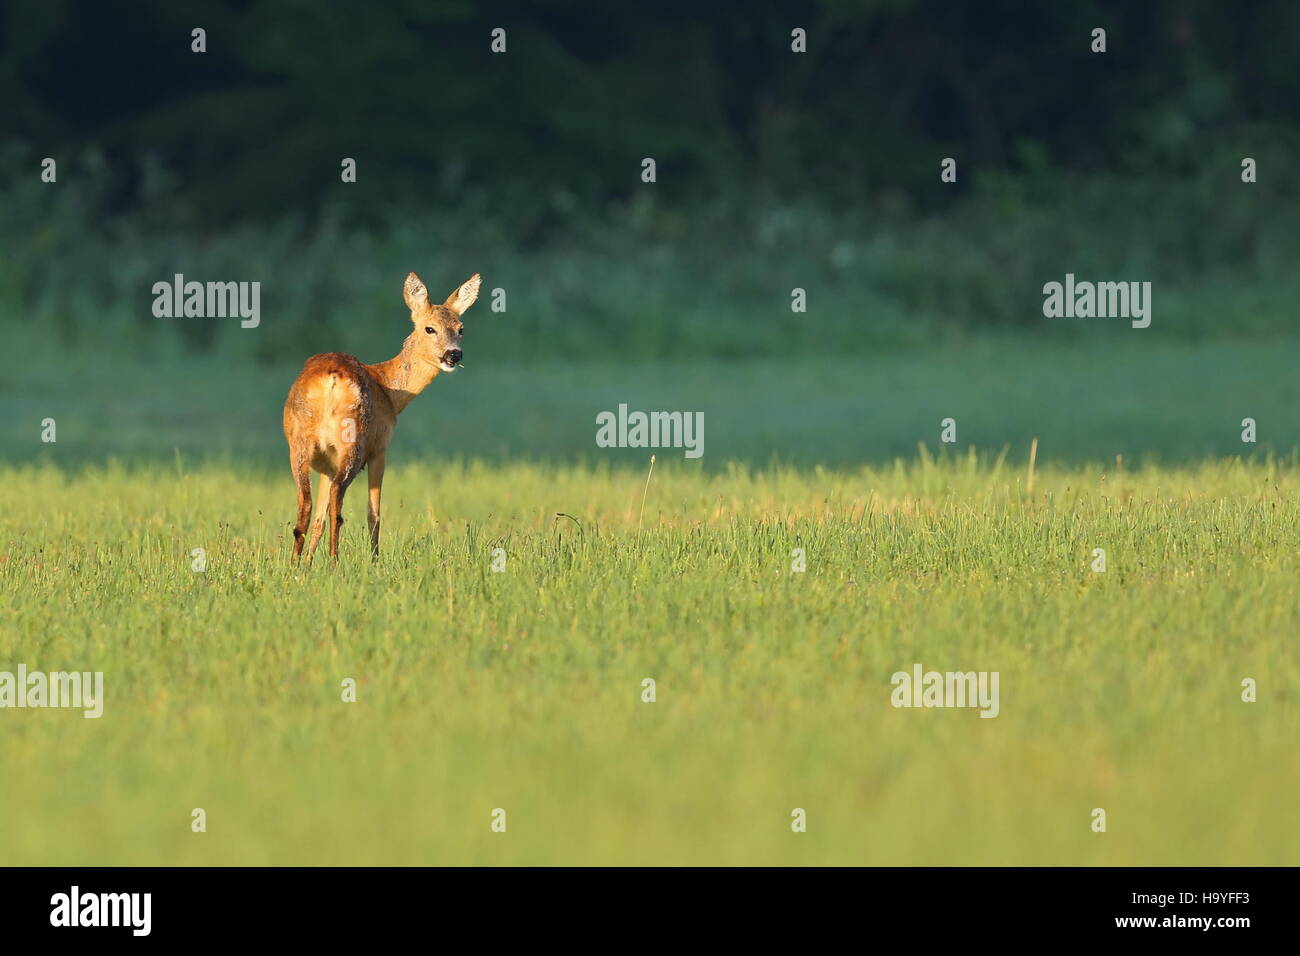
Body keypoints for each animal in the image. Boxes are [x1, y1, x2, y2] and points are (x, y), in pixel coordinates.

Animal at [283, 271, 480, 560]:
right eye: (429, 328)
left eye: (461, 328)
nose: (453, 354)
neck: (388, 389)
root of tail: (331, 379)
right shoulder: (381, 448)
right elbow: (373, 514)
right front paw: (374, 561)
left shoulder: (326, 464)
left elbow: (318, 518)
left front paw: (308, 564)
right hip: (353, 442)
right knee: (337, 501)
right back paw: (334, 561)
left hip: (300, 443)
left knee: (306, 504)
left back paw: (295, 564)